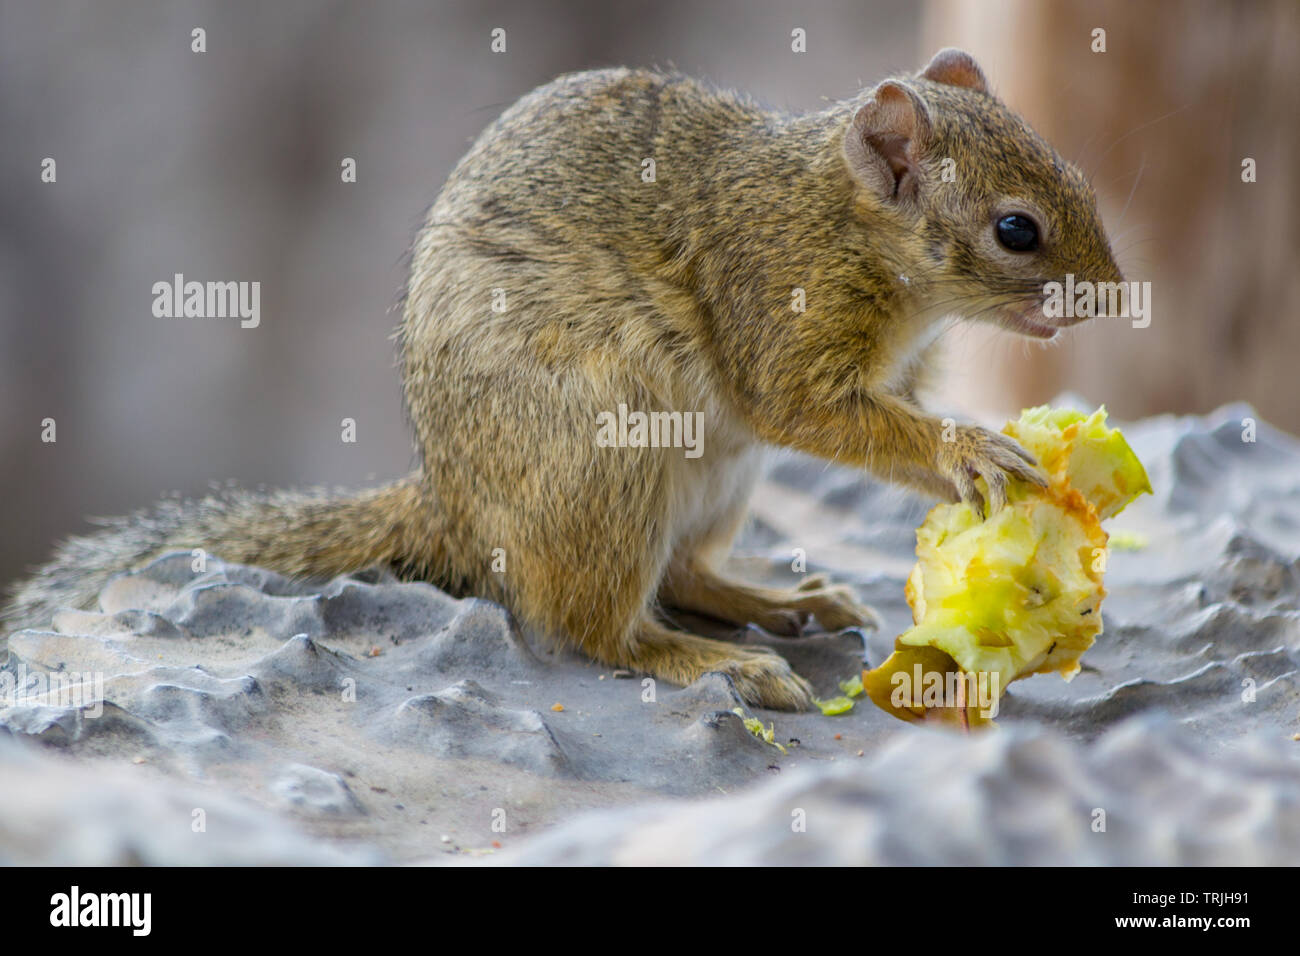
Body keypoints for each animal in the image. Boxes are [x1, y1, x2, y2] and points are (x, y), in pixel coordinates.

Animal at [4, 49, 1123, 710]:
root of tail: (456, 509)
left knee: (683, 575)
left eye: (1077, 171)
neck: (842, 218)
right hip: (605, 465)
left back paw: (775, 599)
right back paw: (718, 662)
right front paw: (972, 452)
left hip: (713, 482)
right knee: (593, 625)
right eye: (1016, 229)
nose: (1113, 297)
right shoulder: (780, 308)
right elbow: (817, 411)